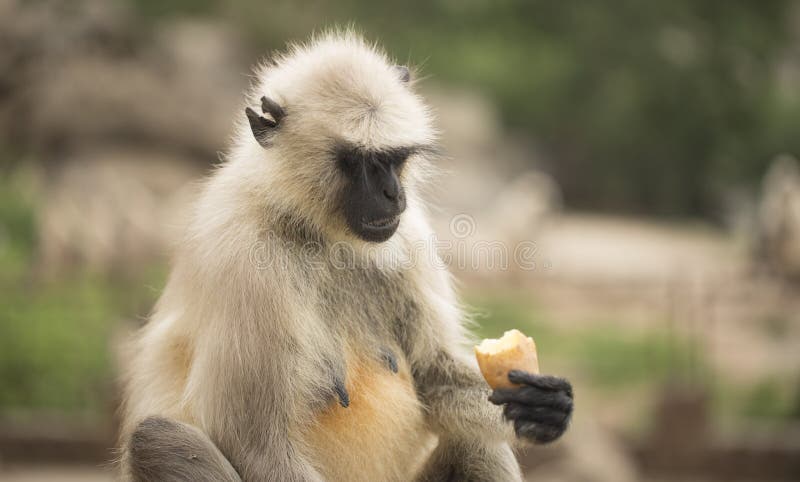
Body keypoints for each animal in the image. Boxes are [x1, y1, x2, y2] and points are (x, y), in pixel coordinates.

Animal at [119, 32, 573, 482]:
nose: (392, 193)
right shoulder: (242, 260)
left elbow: (431, 377)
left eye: (393, 159)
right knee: (158, 438)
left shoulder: (408, 234)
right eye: (360, 163)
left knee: (478, 445)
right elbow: (254, 444)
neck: (317, 233)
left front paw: (541, 407)